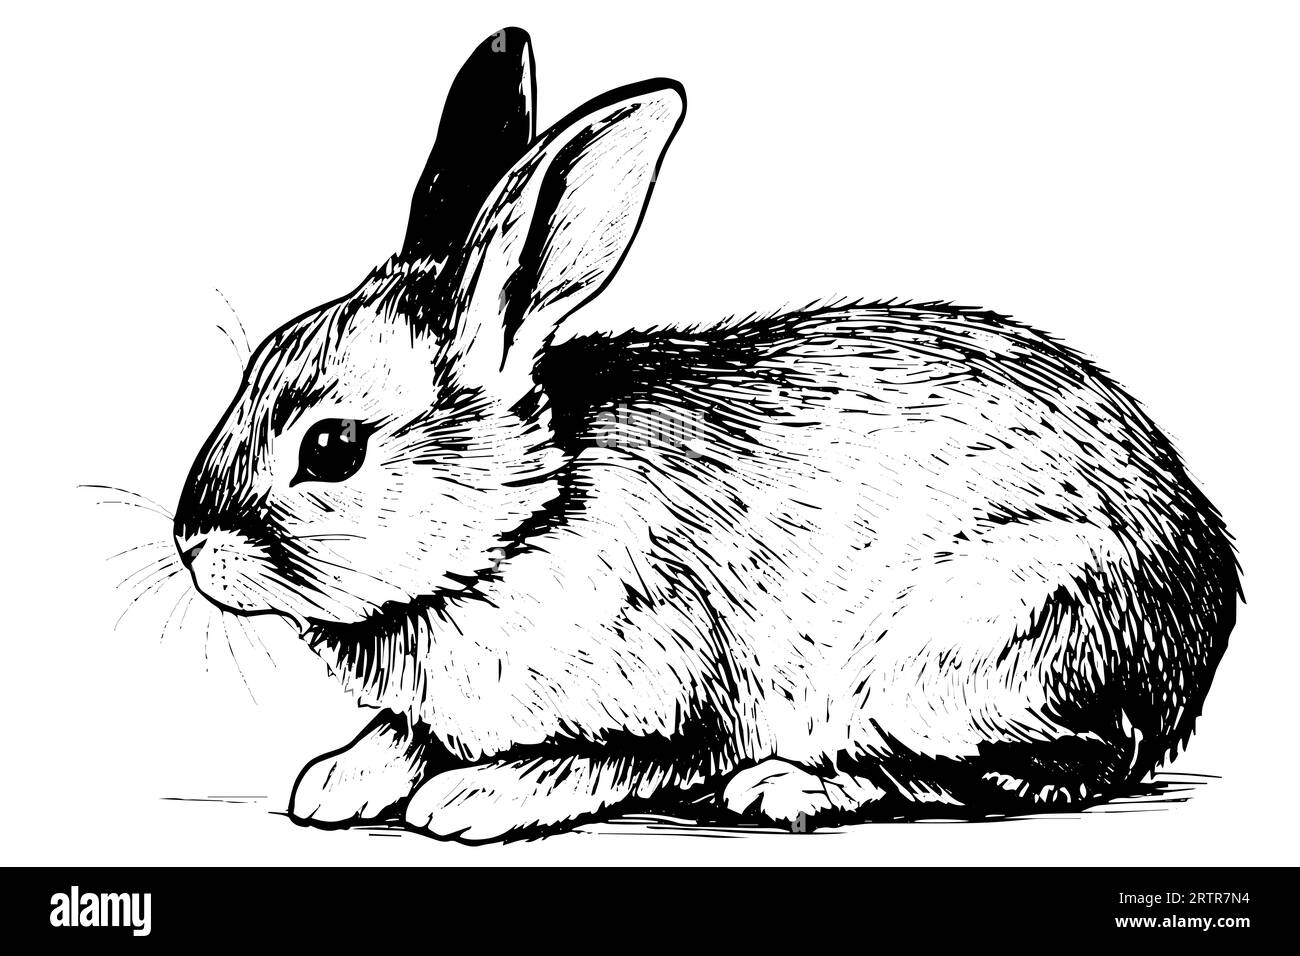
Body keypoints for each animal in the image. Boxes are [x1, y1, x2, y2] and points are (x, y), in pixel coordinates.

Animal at [173, 27, 1238, 842]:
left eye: (332, 449)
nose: (191, 544)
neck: (519, 528)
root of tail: (1198, 611)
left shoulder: (678, 698)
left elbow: (611, 761)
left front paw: (472, 800)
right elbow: (406, 733)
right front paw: (338, 779)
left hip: (960, 652)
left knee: (1035, 771)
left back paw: (788, 788)